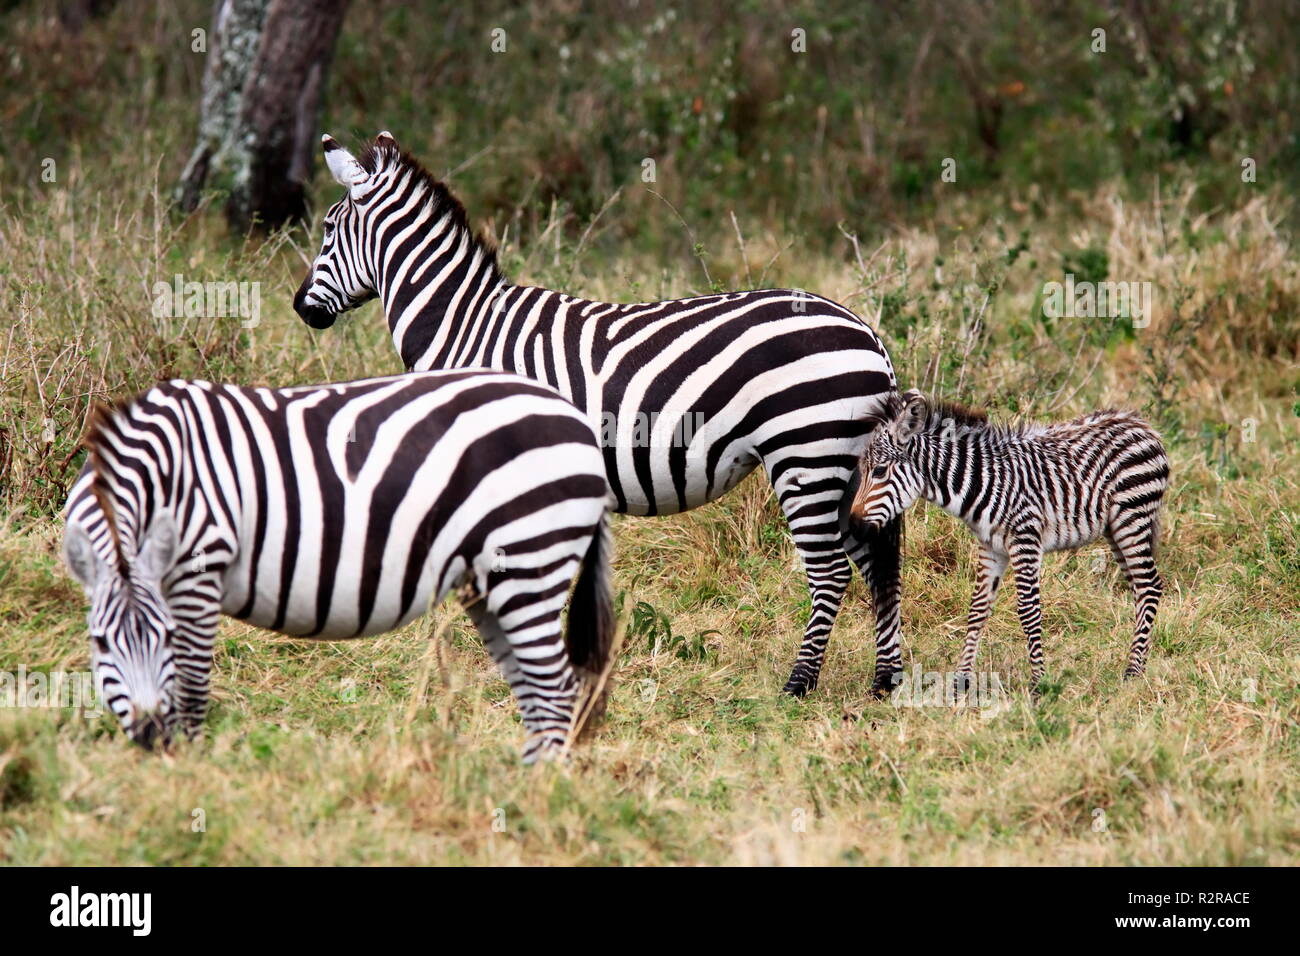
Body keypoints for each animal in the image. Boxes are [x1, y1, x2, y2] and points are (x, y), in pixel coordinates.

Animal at [62, 370, 615, 763]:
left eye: (163, 636)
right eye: (100, 643)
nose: (152, 740)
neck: (165, 478)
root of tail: (576, 419)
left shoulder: (201, 568)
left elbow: (192, 686)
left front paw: (190, 776)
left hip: (531, 557)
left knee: (557, 691)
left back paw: (536, 800)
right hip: (490, 581)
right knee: (534, 690)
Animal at [293, 131, 904, 697]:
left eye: (327, 229)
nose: (301, 308)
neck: (463, 325)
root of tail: (868, 333)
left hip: (808, 455)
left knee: (831, 571)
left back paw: (800, 683)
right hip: (847, 468)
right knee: (878, 564)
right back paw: (885, 682)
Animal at [848, 389, 1169, 688]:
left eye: (879, 471)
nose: (852, 526)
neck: (981, 482)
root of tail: (1140, 423)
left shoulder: (1025, 538)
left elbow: (1028, 610)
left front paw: (1038, 683)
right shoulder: (991, 547)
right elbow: (977, 609)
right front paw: (961, 681)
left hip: (1132, 519)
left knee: (1149, 586)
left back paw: (1133, 671)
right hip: (1115, 529)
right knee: (1139, 588)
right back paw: (1137, 664)